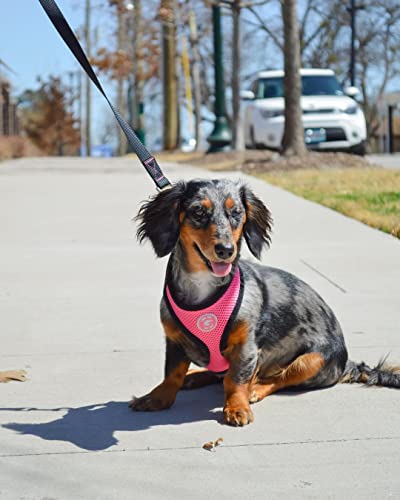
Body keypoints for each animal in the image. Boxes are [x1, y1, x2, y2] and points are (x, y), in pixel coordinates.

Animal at [130, 178, 398, 424]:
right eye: (198, 211)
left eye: (236, 212)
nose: (226, 250)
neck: (203, 287)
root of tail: (347, 364)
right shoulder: (174, 340)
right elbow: (172, 374)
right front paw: (157, 398)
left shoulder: (246, 347)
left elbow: (236, 379)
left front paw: (237, 407)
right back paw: (195, 375)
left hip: (312, 361)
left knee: (277, 379)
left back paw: (255, 390)